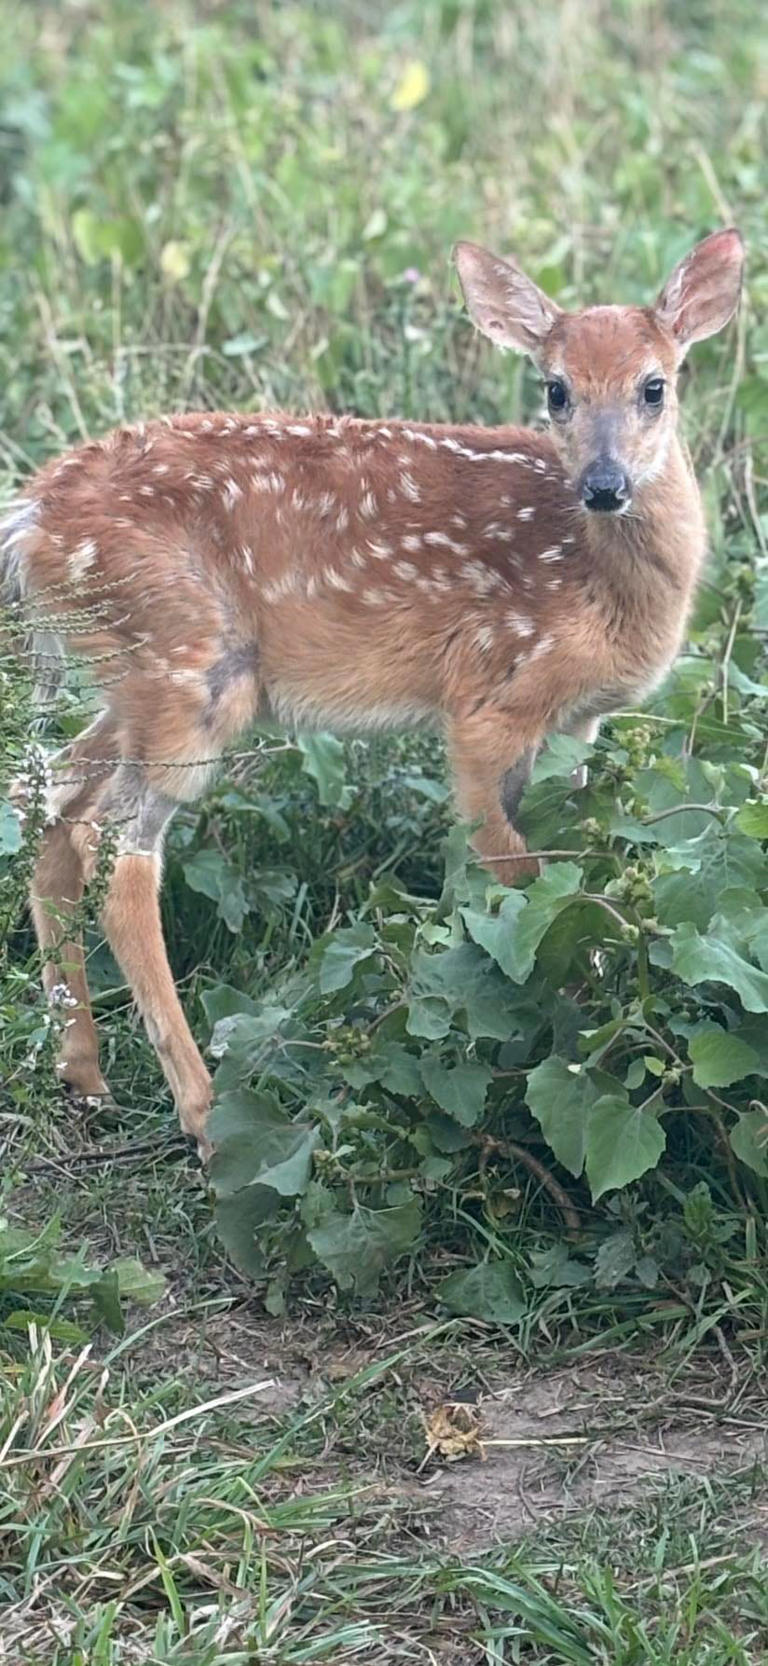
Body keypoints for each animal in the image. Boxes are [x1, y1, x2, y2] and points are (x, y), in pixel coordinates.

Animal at [1, 228, 744, 1158]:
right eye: (556, 389)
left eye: (656, 386)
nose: (604, 484)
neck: (601, 578)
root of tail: (30, 518)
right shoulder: (487, 702)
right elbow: (523, 877)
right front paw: (576, 1023)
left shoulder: (579, 726)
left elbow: (573, 866)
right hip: (188, 665)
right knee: (112, 849)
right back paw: (203, 1113)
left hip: (130, 677)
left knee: (47, 797)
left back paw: (85, 1073)